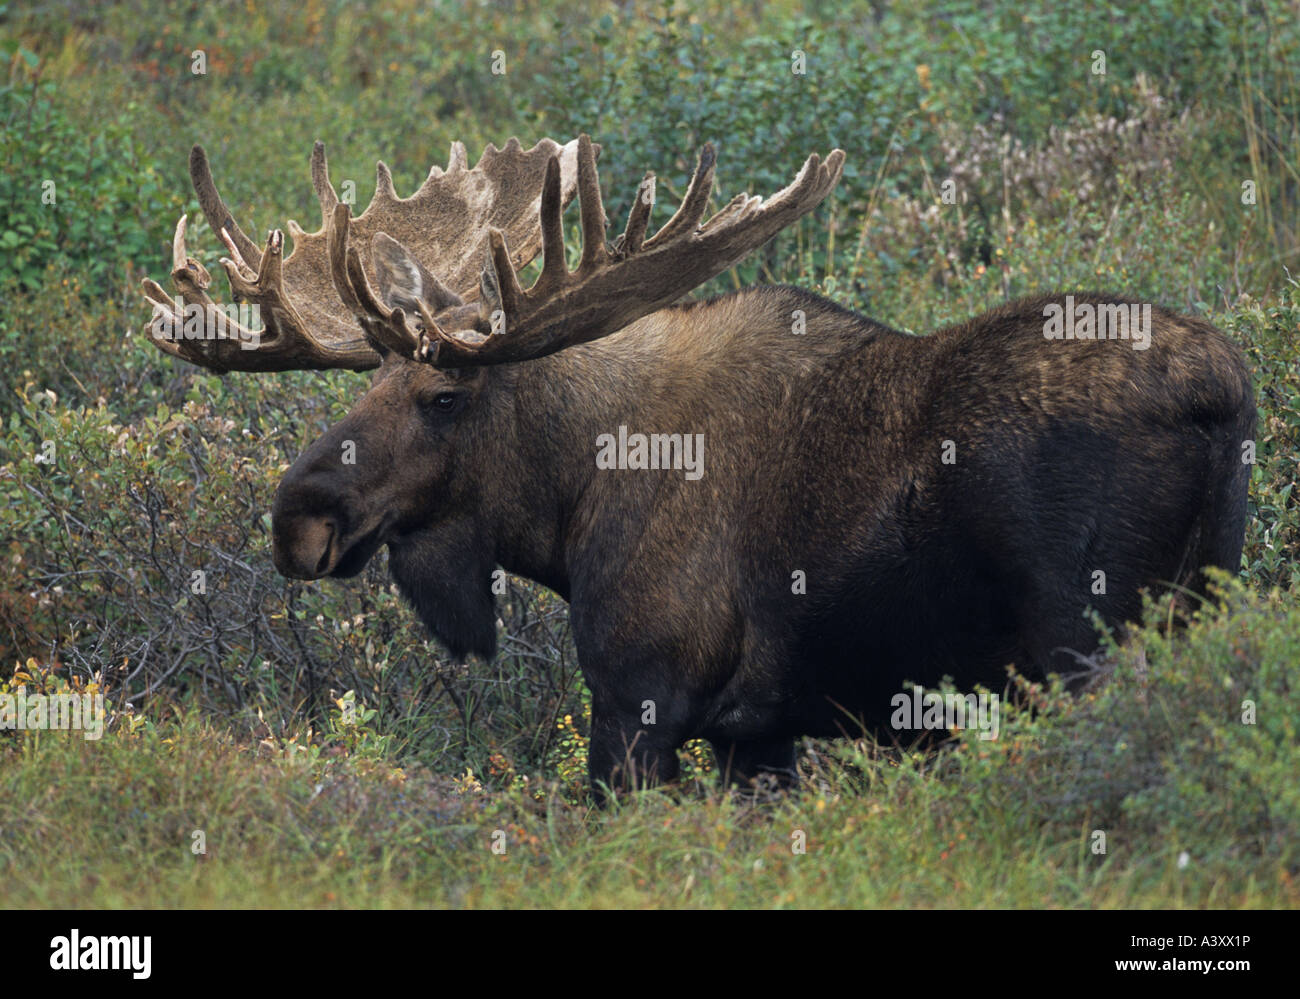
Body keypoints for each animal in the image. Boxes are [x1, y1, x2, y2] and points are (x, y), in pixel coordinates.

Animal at [142, 134, 1255, 800]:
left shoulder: (643, 693)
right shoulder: (757, 735)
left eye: (443, 396)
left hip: (1085, 646)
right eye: (369, 380)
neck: (569, 505)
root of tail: (1220, 389)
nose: (299, 515)